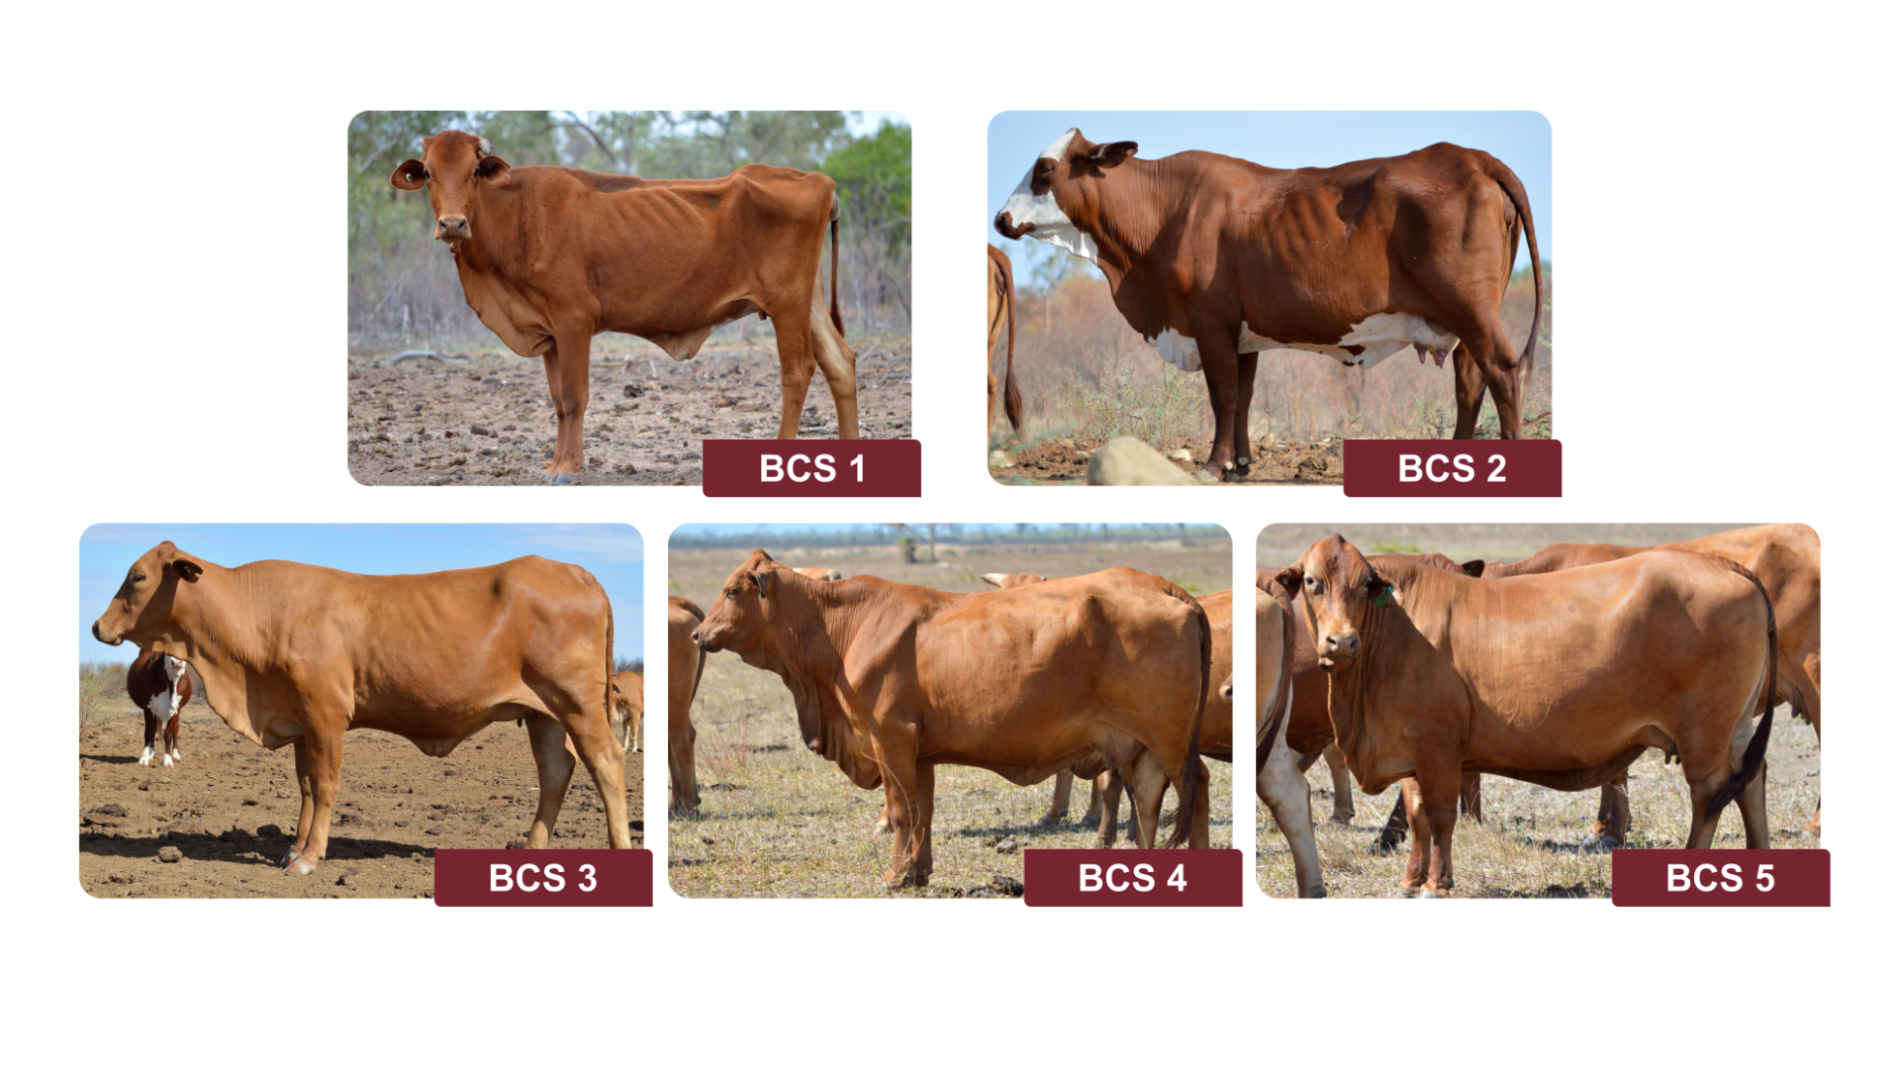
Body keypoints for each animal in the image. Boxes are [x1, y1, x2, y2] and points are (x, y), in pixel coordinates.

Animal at [91, 542, 631, 874]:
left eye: (137, 576)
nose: (97, 626)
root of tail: (572, 570)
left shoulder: (327, 714)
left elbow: (327, 785)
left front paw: (310, 858)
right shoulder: (301, 720)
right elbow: (307, 786)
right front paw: (293, 849)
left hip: (579, 705)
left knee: (606, 764)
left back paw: (622, 848)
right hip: (543, 714)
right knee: (556, 773)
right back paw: (532, 852)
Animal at [390, 130, 859, 483]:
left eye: (473, 172)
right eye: (428, 173)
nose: (452, 224)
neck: (516, 216)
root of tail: (820, 181)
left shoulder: (574, 319)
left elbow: (575, 397)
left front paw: (568, 468)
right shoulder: (550, 332)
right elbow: (558, 402)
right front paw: (555, 463)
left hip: (787, 304)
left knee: (797, 371)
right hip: (809, 303)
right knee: (840, 362)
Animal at [692, 551, 1210, 888]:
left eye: (732, 591)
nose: (698, 633)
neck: (844, 626)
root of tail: (1166, 587)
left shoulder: (889, 740)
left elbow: (900, 811)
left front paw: (895, 875)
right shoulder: (919, 752)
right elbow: (923, 811)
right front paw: (919, 871)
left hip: (1167, 742)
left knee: (1193, 788)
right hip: (1144, 749)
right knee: (1153, 802)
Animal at [995, 130, 1544, 482]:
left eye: (1045, 170)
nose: (1000, 218)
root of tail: (1471, 157)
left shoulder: (1210, 323)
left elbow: (1223, 397)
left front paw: (1213, 466)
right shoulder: (1243, 333)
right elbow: (1244, 397)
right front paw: (1239, 465)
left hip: (1472, 311)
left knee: (1501, 371)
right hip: (1464, 319)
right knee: (1470, 382)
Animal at [1273, 534, 1777, 897]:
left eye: (1364, 585)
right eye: (1313, 582)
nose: (1341, 641)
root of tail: (1725, 565)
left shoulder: (1437, 747)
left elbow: (1439, 817)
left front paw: (1435, 884)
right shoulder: (1411, 749)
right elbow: (1417, 818)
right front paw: (1410, 881)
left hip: (1705, 733)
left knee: (1709, 795)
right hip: (1736, 728)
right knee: (1750, 782)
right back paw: (1759, 854)